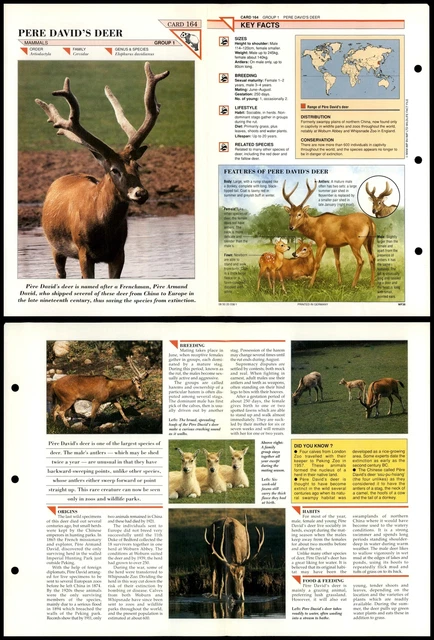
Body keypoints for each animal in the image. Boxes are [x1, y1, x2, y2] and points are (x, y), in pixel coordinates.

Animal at [35, 62, 169, 278]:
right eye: (114, 170)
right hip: (54, 246)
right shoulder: (83, 251)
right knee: (60, 273)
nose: (140, 193)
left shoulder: (119, 252)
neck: (104, 231)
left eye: (137, 165)